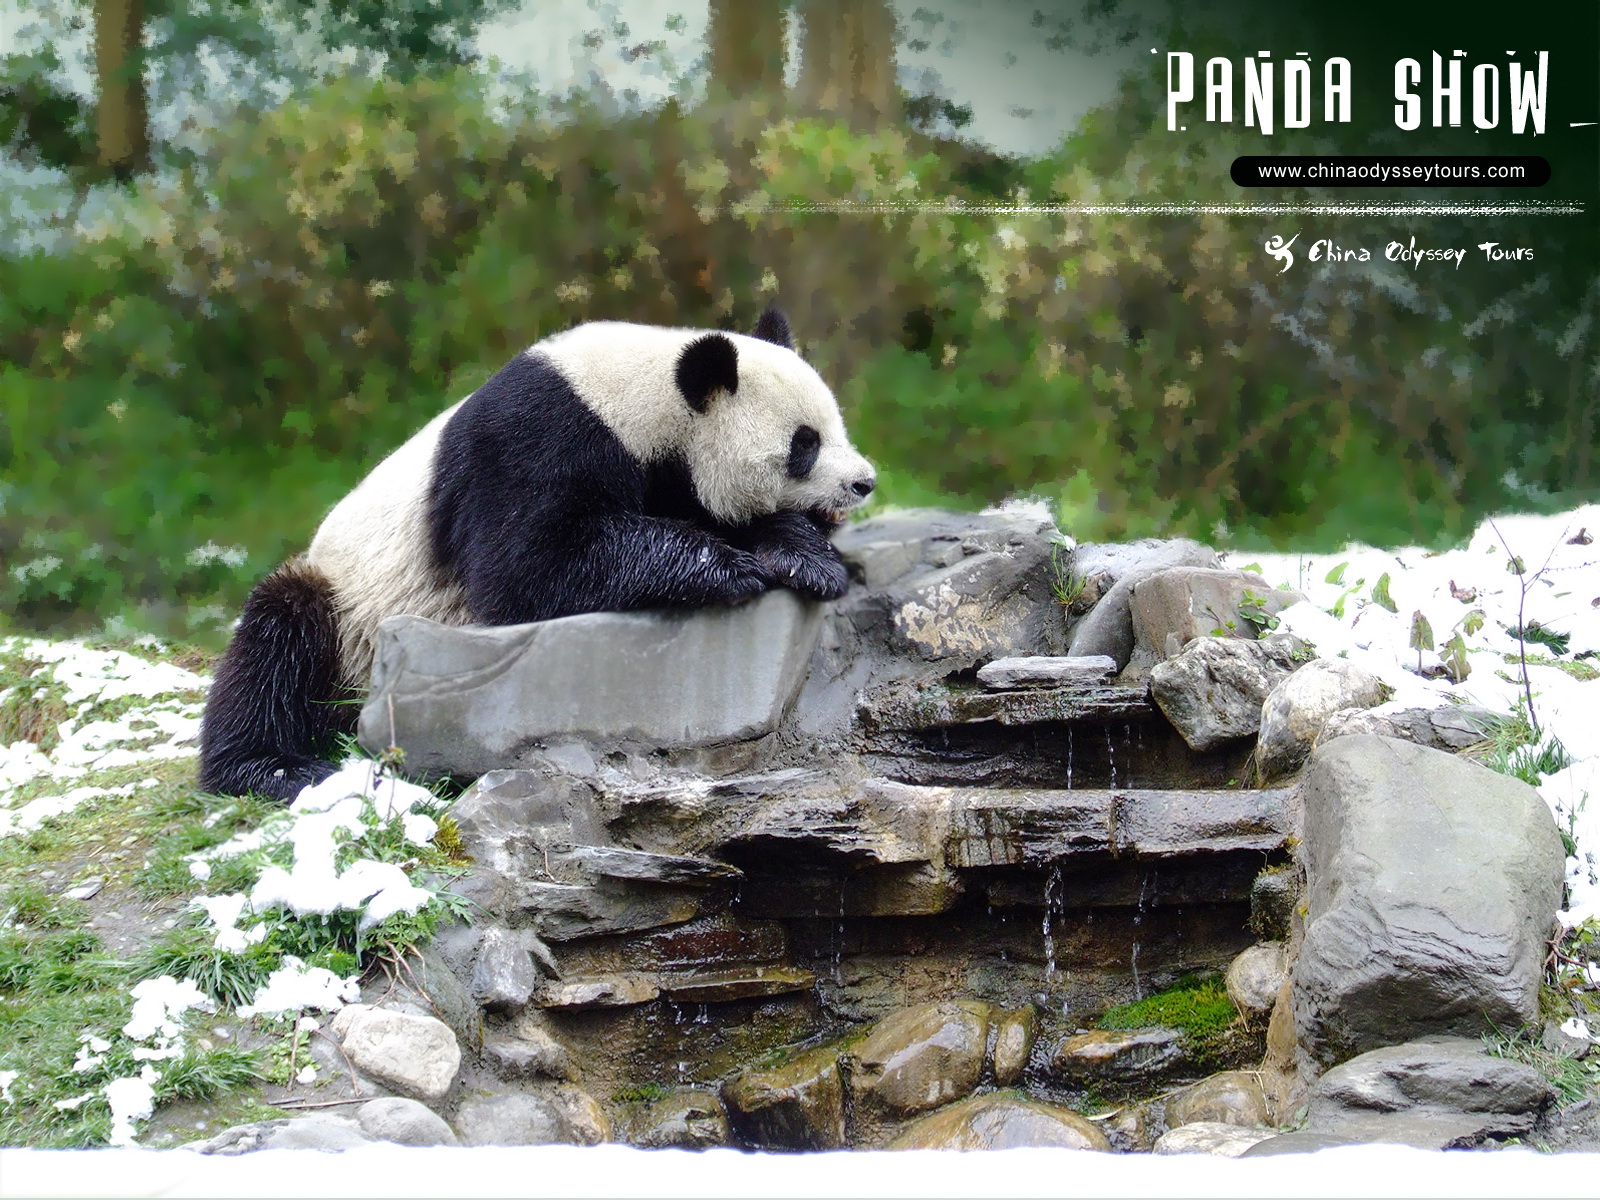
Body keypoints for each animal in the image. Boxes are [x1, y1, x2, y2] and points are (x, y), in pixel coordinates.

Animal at [199, 307, 876, 801]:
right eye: (805, 444)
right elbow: (528, 568)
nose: (864, 482)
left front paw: (803, 555)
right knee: (280, 641)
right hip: (349, 608)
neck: (640, 402)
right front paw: (727, 567)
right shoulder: (532, 441)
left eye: (836, 426)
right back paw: (269, 767)